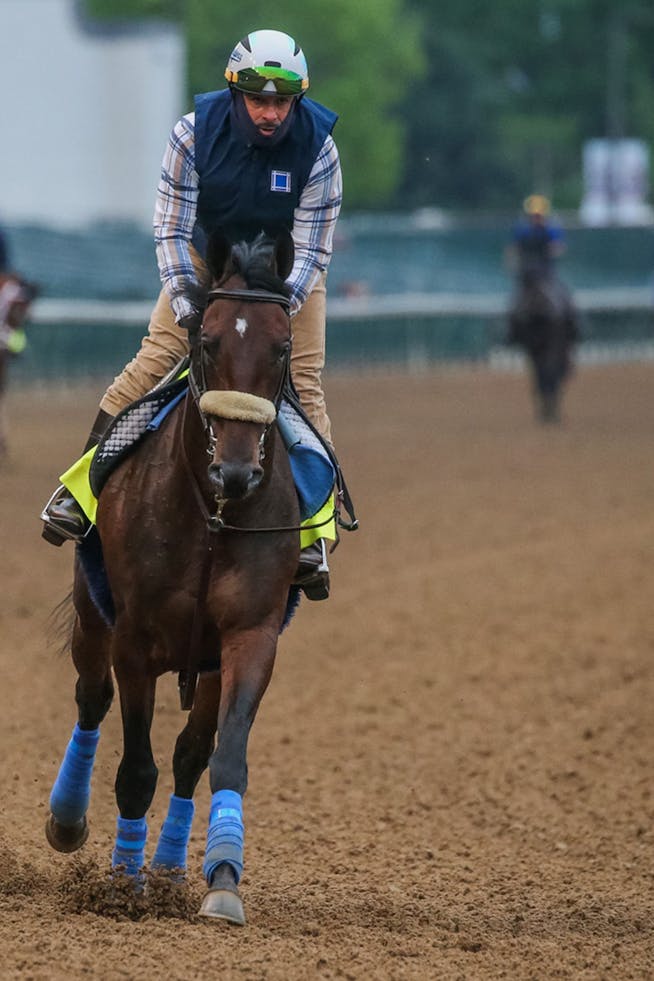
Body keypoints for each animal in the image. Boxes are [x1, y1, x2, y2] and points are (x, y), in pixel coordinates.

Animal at [46, 230, 311, 926]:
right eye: (207, 340)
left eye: (282, 346)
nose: (237, 473)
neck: (211, 518)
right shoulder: (134, 638)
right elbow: (135, 768)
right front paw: (121, 883)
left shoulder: (250, 636)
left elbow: (223, 757)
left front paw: (221, 882)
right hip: (92, 614)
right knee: (91, 699)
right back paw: (70, 820)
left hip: (207, 663)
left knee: (191, 753)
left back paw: (168, 869)